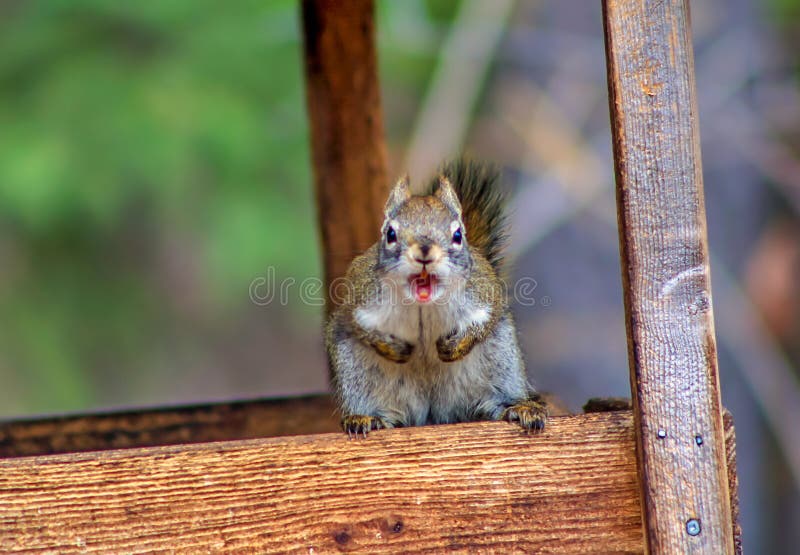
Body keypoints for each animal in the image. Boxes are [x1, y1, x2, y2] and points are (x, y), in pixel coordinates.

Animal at [325, 159, 547, 437]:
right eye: (390, 234)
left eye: (458, 235)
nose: (424, 251)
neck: (423, 305)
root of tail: (432, 415)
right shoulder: (358, 294)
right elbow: (360, 327)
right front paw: (395, 349)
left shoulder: (486, 290)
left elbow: (486, 321)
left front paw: (454, 347)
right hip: (356, 373)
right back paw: (366, 418)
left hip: (501, 363)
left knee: (493, 403)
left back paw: (517, 408)